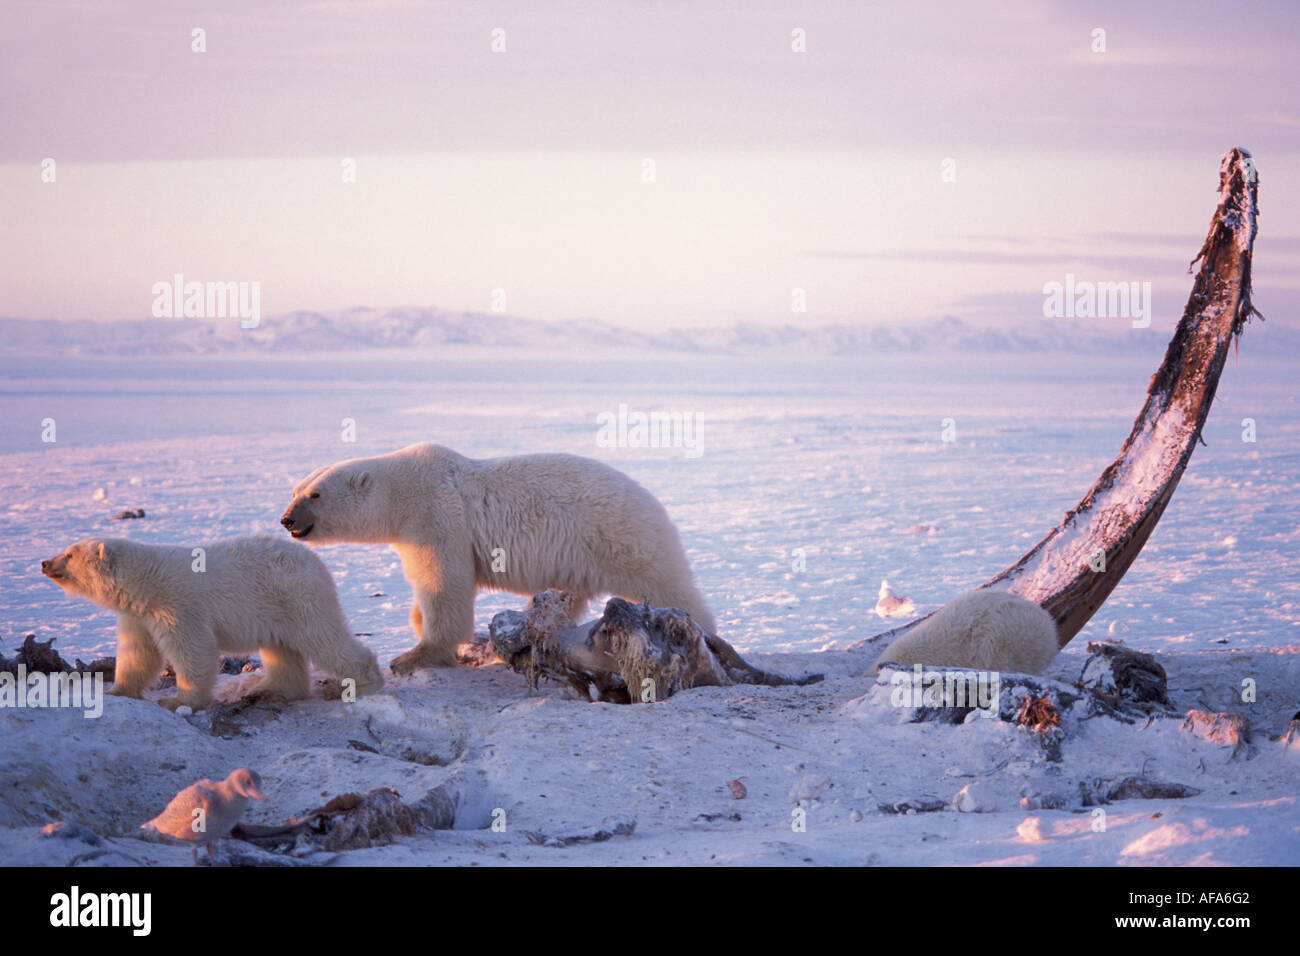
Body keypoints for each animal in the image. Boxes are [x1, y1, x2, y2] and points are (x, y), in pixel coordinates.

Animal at [40, 534, 383, 709]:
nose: (44, 562)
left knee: (323, 637)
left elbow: (194, 650)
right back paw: (268, 689)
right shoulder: (139, 615)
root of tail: (316, 561)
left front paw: (177, 700)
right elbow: (138, 652)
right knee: (282, 650)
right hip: (278, 608)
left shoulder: (176, 606)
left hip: (297, 597)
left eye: (69, 554)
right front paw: (117, 690)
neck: (146, 580)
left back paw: (366, 682)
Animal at [280, 443, 715, 675]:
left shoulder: (437, 518)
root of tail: (653, 502)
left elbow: (444, 586)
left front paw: (413, 655)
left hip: (622, 536)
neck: (404, 490)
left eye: (315, 494)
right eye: (295, 490)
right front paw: (417, 624)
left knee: (666, 583)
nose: (287, 520)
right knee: (569, 594)